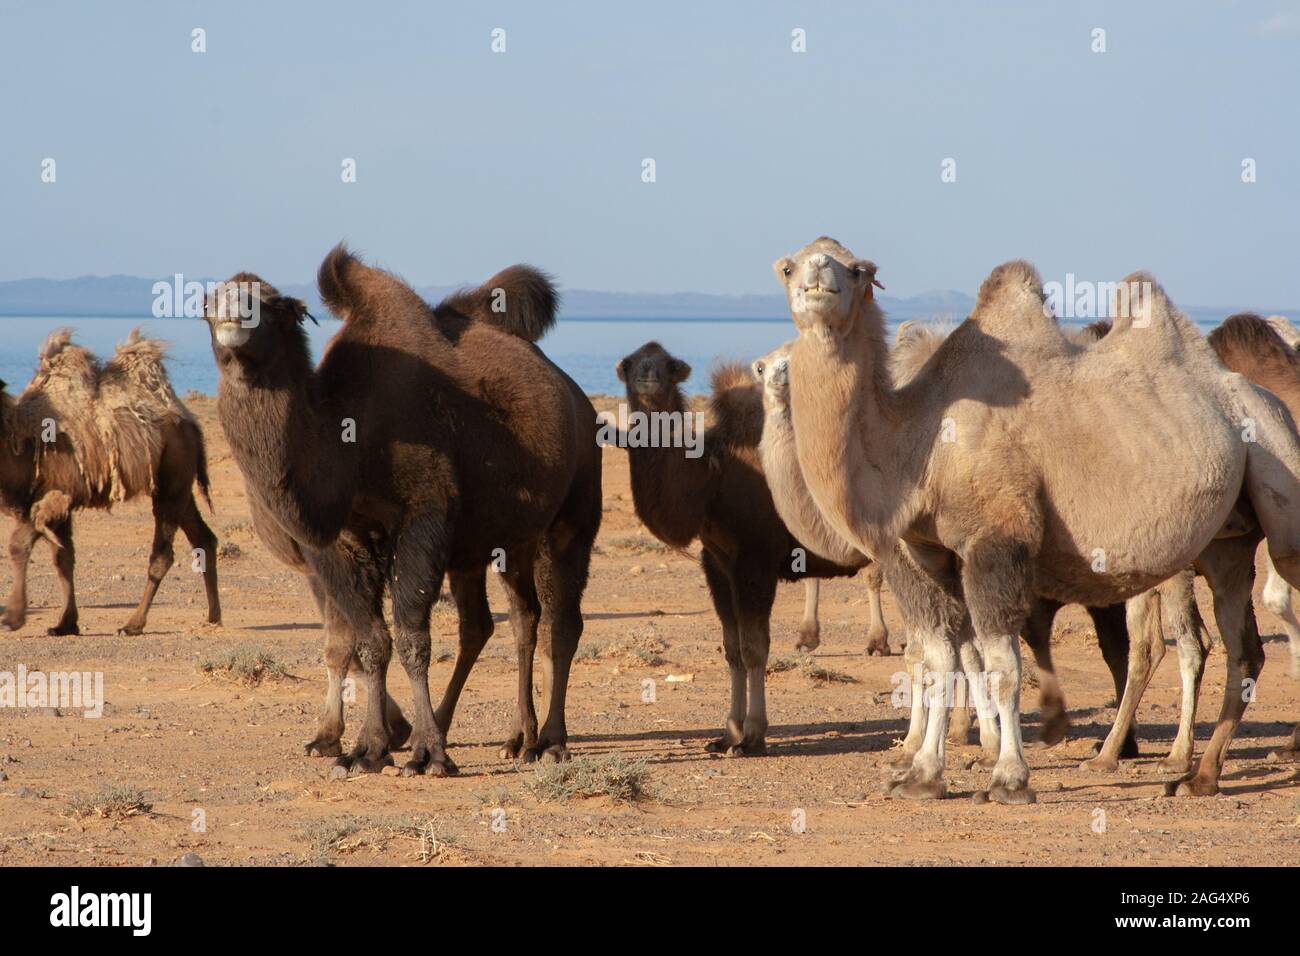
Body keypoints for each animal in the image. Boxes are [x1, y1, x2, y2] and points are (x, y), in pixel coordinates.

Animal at [0, 329, 219, 636]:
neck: (19, 443)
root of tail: (191, 423)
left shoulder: (55, 494)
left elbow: (19, 545)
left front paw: (13, 617)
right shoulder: (58, 503)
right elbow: (63, 558)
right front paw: (65, 624)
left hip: (172, 477)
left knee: (162, 554)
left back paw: (133, 624)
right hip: (179, 486)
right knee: (203, 538)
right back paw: (213, 615)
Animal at [204, 246, 601, 777]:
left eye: (270, 302)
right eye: (208, 298)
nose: (232, 309)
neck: (348, 438)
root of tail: (579, 400)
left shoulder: (424, 517)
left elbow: (412, 636)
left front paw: (428, 754)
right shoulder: (344, 539)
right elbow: (370, 641)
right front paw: (367, 749)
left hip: (572, 515)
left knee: (562, 622)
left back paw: (552, 743)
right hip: (502, 541)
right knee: (514, 619)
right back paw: (518, 738)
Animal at [615, 341, 865, 756]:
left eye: (670, 364)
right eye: (630, 361)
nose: (646, 374)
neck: (711, 479)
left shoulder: (755, 559)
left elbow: (754, 647)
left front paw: (752, 736)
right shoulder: (718, 561)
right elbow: (731, 647)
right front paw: (727, 734)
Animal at [778, 236, 1300, 802]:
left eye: (856, 270)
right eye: (787, 266)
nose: (817, 276)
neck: (918, 442)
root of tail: (1265, 398)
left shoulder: (996, 539)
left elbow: (1001, 665)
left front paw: (1008, 779)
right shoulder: (924, 552)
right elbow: (941, 659)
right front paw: (922, 776)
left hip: (1277, 463)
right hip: (1227, 540)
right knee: (1243, 646)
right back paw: (1201, 777)